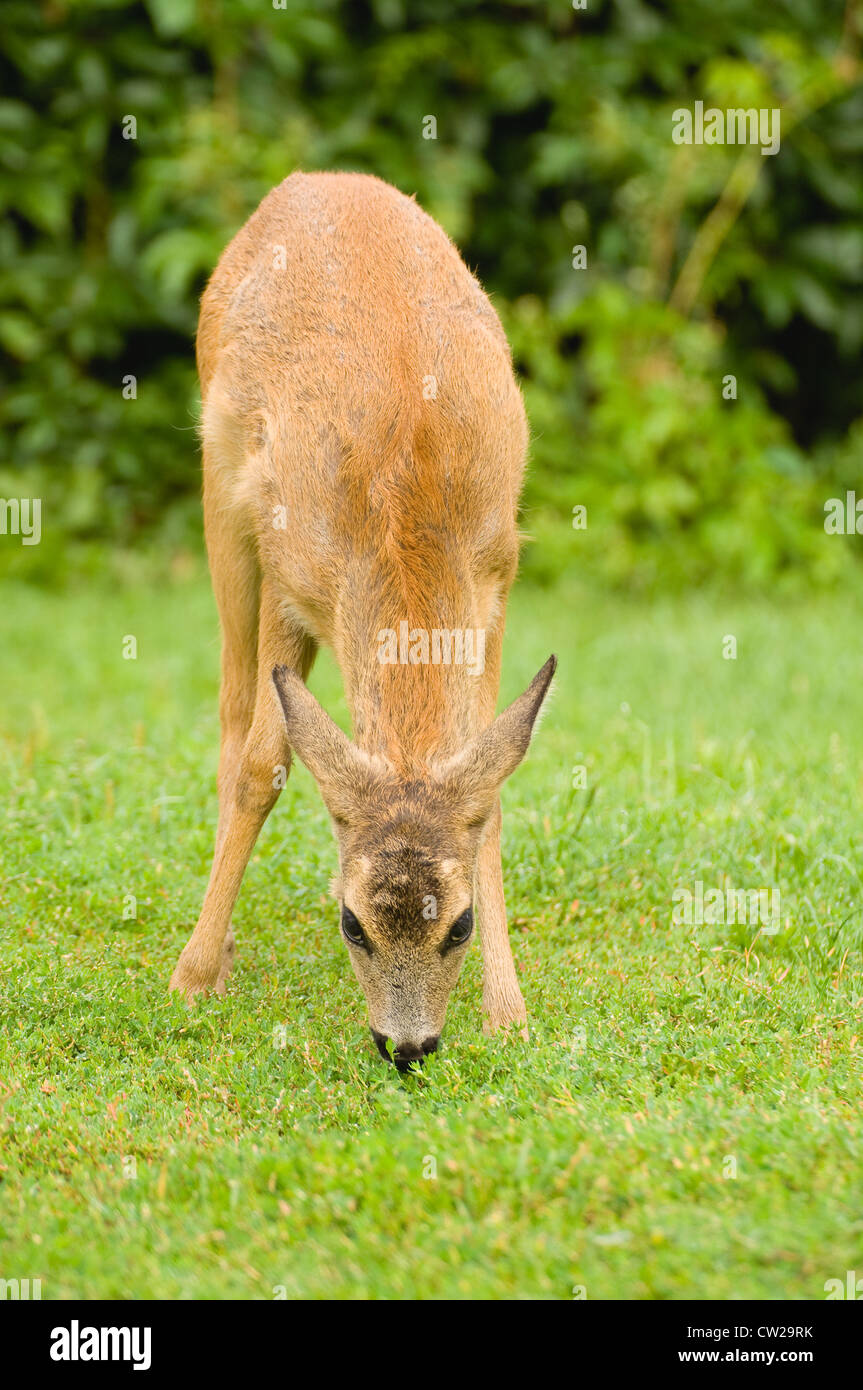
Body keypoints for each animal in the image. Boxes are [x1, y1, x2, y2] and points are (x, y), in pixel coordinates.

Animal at [169, 171, 556, 1071]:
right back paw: (217, 946)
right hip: (221, 501)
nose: (405, 1045)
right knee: (232, 716)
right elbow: (263, 766)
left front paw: (509, 1010)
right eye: (352, 923)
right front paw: (192, 976)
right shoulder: (289, 571)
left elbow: (491, 796)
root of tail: (313, 178)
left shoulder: (496, 574)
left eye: (459, 926)